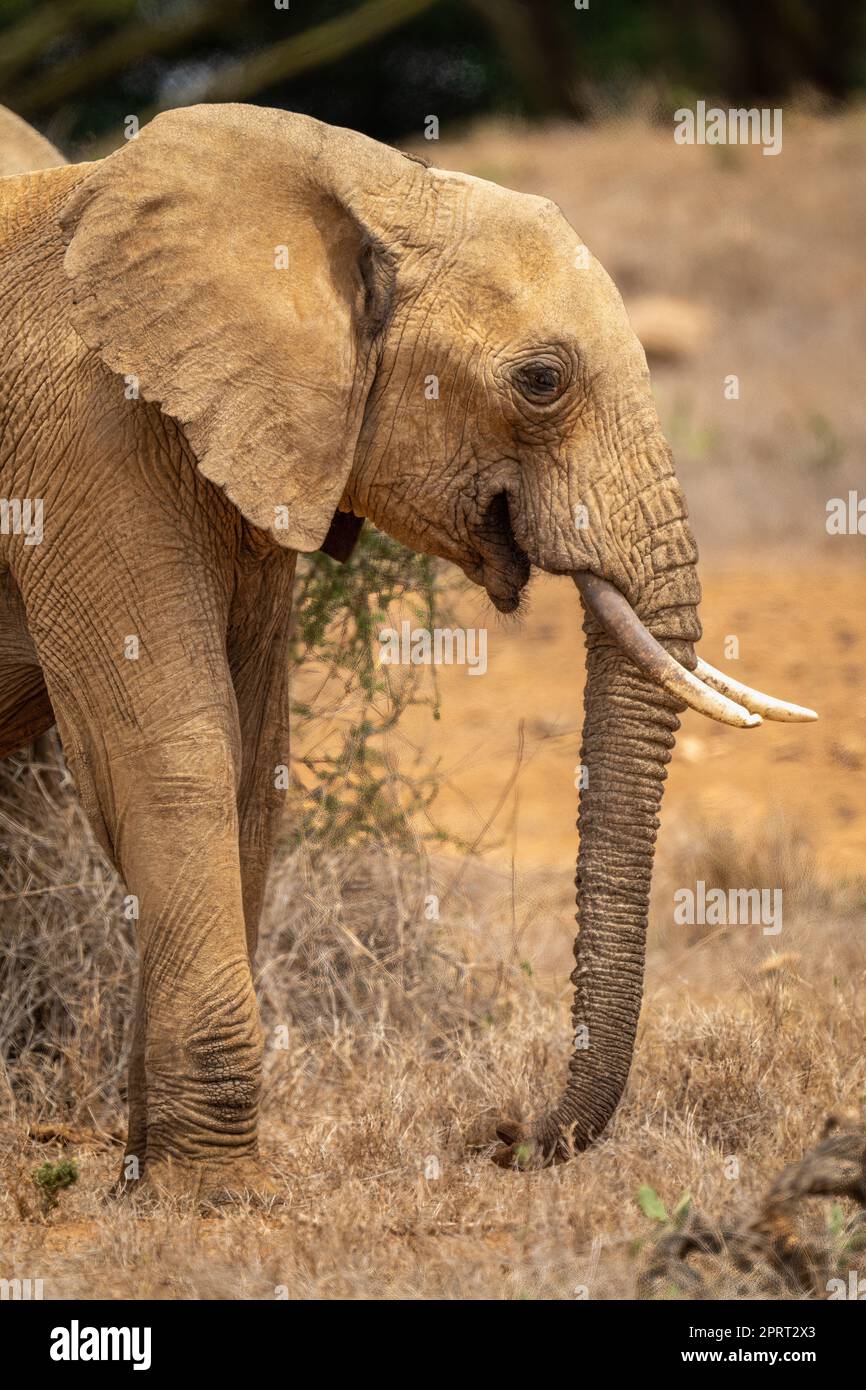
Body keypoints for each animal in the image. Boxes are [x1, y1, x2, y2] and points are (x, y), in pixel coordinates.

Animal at [0, 102, 816, 1200]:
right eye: (541, 382)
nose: (504, 1134)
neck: (368, 182)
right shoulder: (83, 445)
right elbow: (173, 756)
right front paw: (213, 1197)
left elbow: (256, 763)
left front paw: (151, 1174)